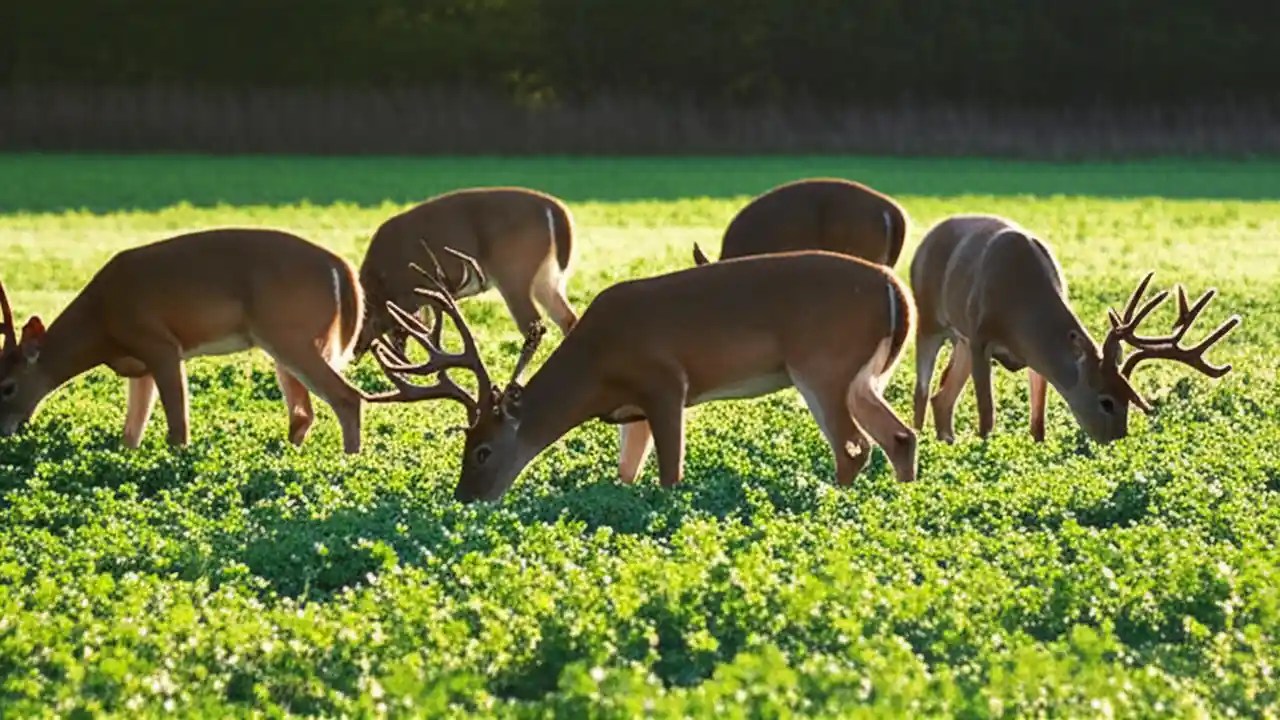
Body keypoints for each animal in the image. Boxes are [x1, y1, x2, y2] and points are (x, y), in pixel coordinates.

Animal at [0, 228, 368, 453]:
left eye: (7, 386)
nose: (4, 430)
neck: (101, 320)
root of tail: (343, 268)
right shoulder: (140, 365)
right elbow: (131, 433)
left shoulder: (159, 344)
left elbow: (178, 427)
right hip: (286, 344)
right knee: (303, 414)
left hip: (289, 334)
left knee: (347, 397)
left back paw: (347, 462)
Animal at [355, 186, 579, 368]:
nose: (354, 355)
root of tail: (556, 210)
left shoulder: (411, 298)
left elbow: (404, 339)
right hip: (547, 278)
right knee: (566, 318)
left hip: (515, 274)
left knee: (534, 325)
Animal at [367, 247, 919, 503]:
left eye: (482, 450)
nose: (464, 500)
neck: (597, 369)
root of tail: (897, 291)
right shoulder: (630, 411)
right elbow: (627, 474)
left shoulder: (665, 382)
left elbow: (670, 475)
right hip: (863, 376)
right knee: (900, 436)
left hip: (822, 364)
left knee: (854, 447)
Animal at [909, 214, 1240, 444]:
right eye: (1106, 401)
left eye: (1129, 398)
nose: (1117, 439)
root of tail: (927, 238)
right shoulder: (979, 335)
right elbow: (987, 413)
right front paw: (985, 445)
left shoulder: (1029, 353)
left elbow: (1038, 421)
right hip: (929, 319)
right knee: (922, 391)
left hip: (960, 341)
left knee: (942, 398)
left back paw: (946, 440)